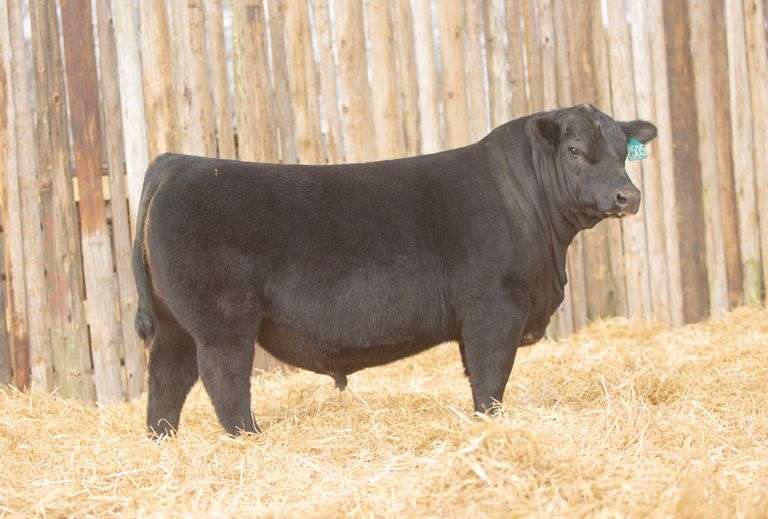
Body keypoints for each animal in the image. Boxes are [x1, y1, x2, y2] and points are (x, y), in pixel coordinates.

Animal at [133, 104, 656, 437]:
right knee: (222, 382)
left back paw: (164, 441)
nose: (627, 196)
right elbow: (490, 380)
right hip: (221, 323)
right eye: (574, 150)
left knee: (165, 382)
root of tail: (177, 162)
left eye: (621, 150)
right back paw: (250, 437)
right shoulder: (495, 309)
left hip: (175, 324)